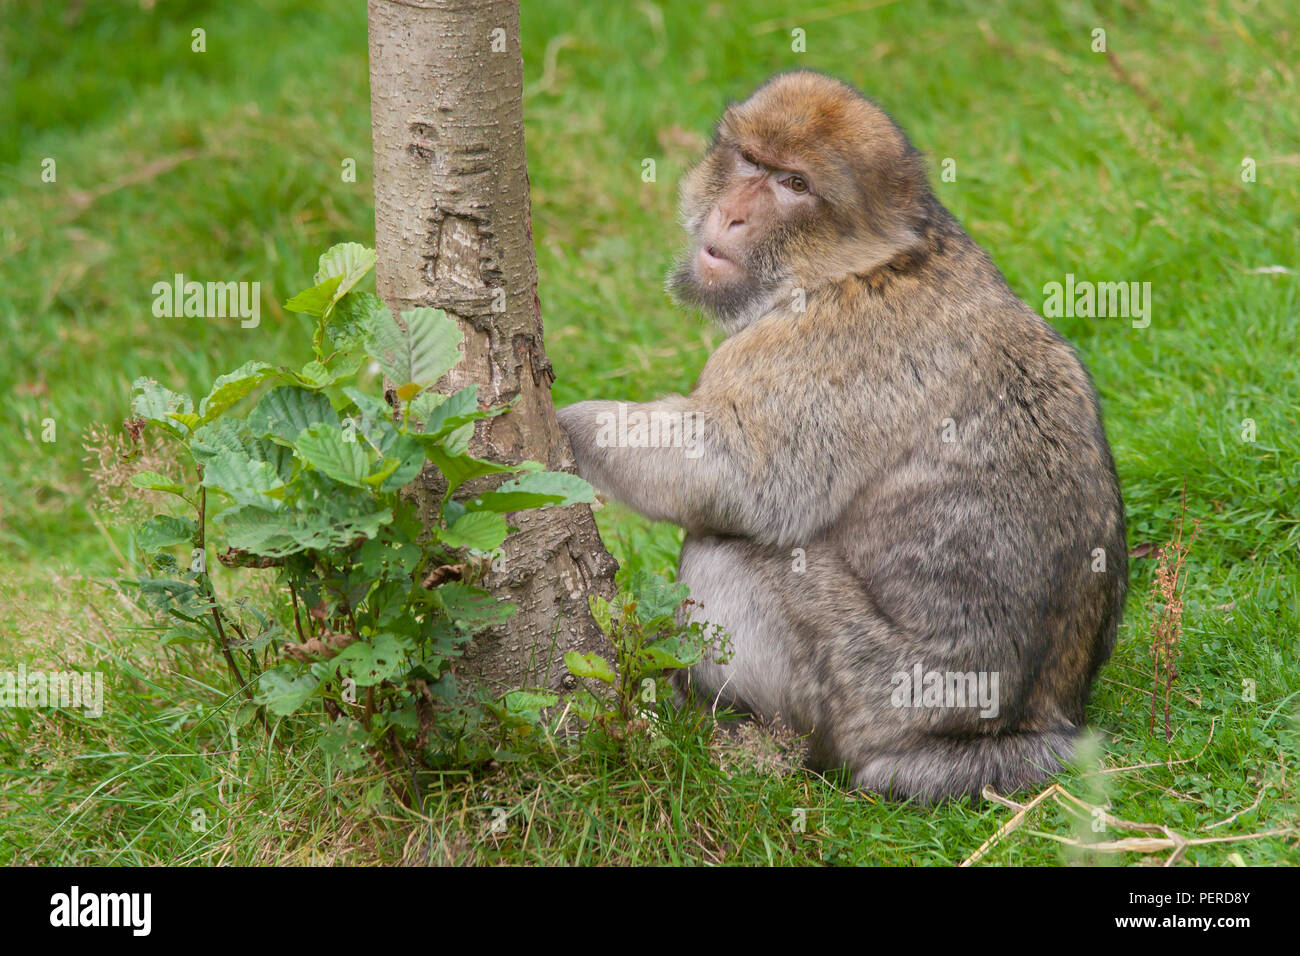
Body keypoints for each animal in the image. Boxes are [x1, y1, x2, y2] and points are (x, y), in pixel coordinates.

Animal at [556, 71, 1126, 803]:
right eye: (750, 162)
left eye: (794, 184)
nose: (732, 214)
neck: (865, 262)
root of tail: (1021, 726)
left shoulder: (821, 343)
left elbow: (737, 473)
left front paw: (561, 426)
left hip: (861, 686)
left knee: (728, 552)